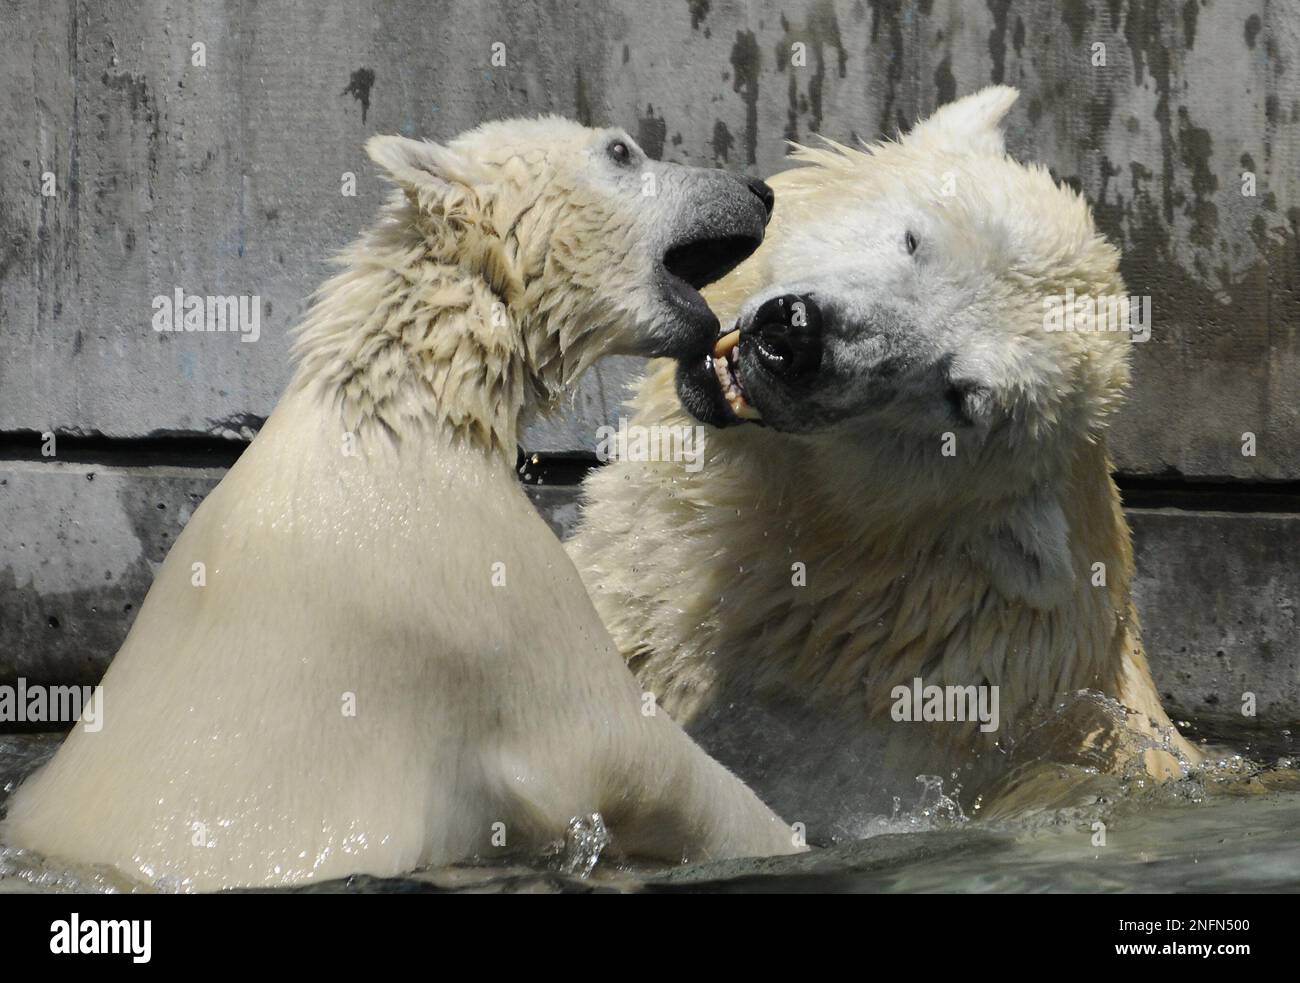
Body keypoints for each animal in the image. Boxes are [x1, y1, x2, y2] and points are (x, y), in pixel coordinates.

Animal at [2, 118, 800, 890]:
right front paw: (782, 836)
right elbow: (622, 744)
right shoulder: (484, 585)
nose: (758, 190)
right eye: (621, 151)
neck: (407, 402)